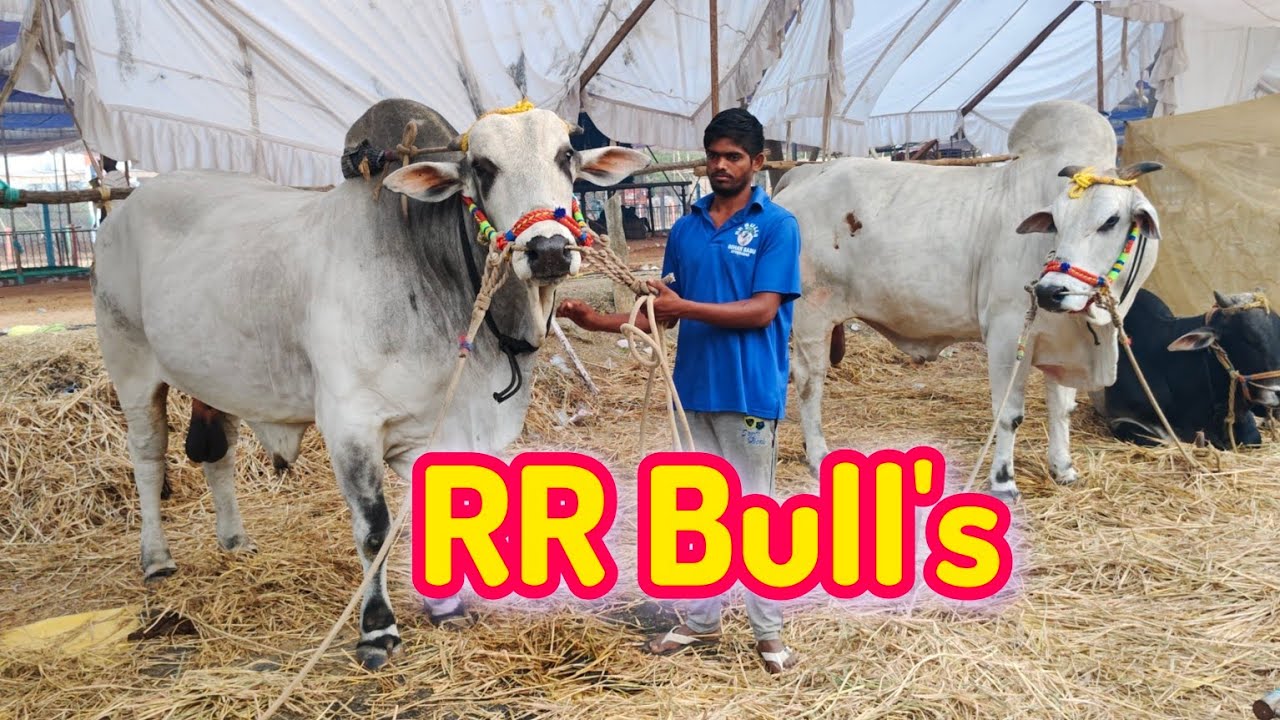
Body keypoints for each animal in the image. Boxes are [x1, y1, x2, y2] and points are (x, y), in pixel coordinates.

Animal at [90, 98, 649, 669]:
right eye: (484, 166)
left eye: (565, 155)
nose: (550, 250)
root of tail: (125, 211)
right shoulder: (350, 426)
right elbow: (375, 529)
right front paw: (377, 628)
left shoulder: (440, 428)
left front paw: (445, 606)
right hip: (131, 368)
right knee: (148, 458)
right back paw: (156, 557)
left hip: (215, 377)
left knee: (217, 453)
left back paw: (234, 539)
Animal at [772, 100, 1163, 501]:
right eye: (1055, 219)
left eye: (1111, 220)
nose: (1049, 291)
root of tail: (805, 173)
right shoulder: (1007, 335)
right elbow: (1009, 414)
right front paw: (1003, 481)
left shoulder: (1062, 343)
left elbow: (1061, 409)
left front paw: (1064, 468)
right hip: (811, 315)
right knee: (808, 382)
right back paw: (818, 454)